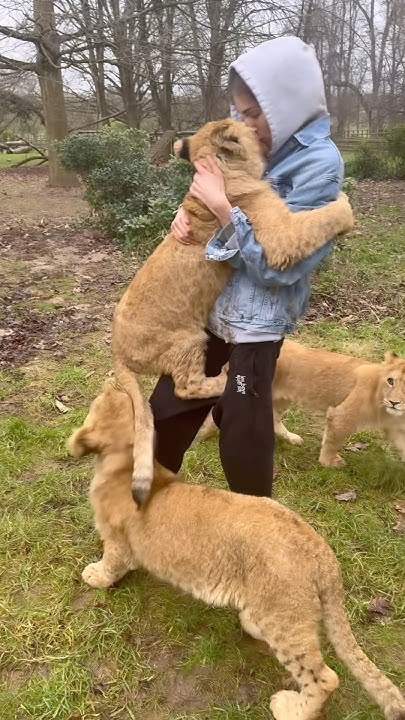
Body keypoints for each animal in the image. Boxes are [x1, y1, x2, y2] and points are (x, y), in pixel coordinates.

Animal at [68, 378, 405, 720]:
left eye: (105, 397)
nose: (112, 379)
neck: (123, 463)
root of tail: (324, 555)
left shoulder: (117, 538)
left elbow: (112, 562)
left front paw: (95, 576)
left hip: (285, 617)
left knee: (323, 677)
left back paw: (290, 708)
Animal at [198, 341, 405, 467]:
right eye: (391, 381)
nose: (394, 402)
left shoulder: (398, 429)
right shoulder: (342, 415)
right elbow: (333, 442)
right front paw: (328, 462)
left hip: (281, 398)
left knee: (274, 418)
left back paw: (291, 438)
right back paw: (202, 434)